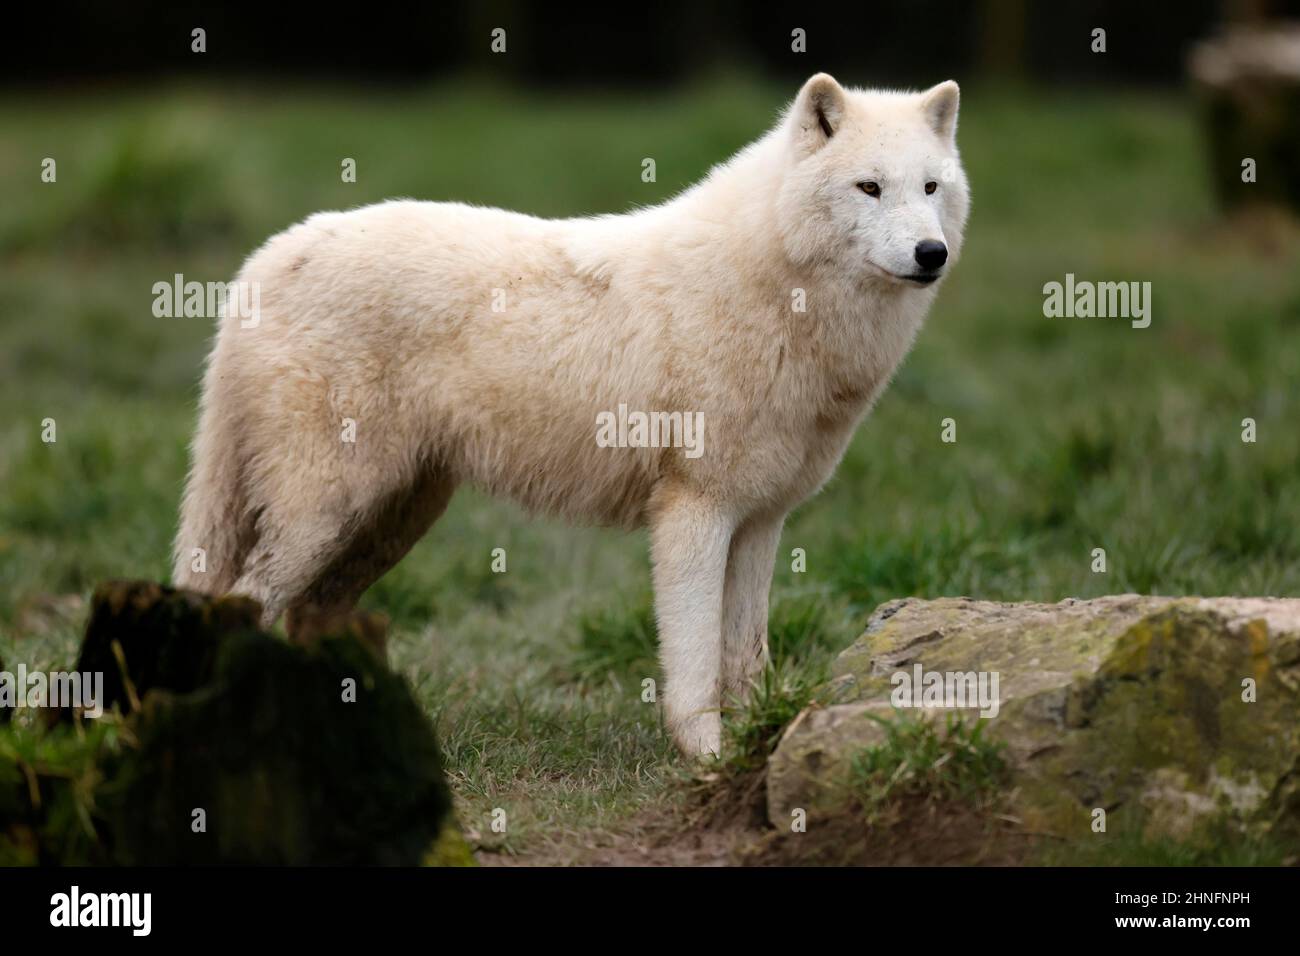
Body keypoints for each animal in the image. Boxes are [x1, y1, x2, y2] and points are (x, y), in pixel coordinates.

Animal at [173, 73, 970, 756]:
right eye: (869, 187)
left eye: (930, 187)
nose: (932, 253)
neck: (780, 296)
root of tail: (264, 259)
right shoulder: (694, 512)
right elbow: (694, 664)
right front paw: (709, 761)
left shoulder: (761, 521)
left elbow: (746, 656)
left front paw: (759, 744)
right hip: (325, 517)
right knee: (246, 604)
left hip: (388, 521)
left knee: (306, 616)